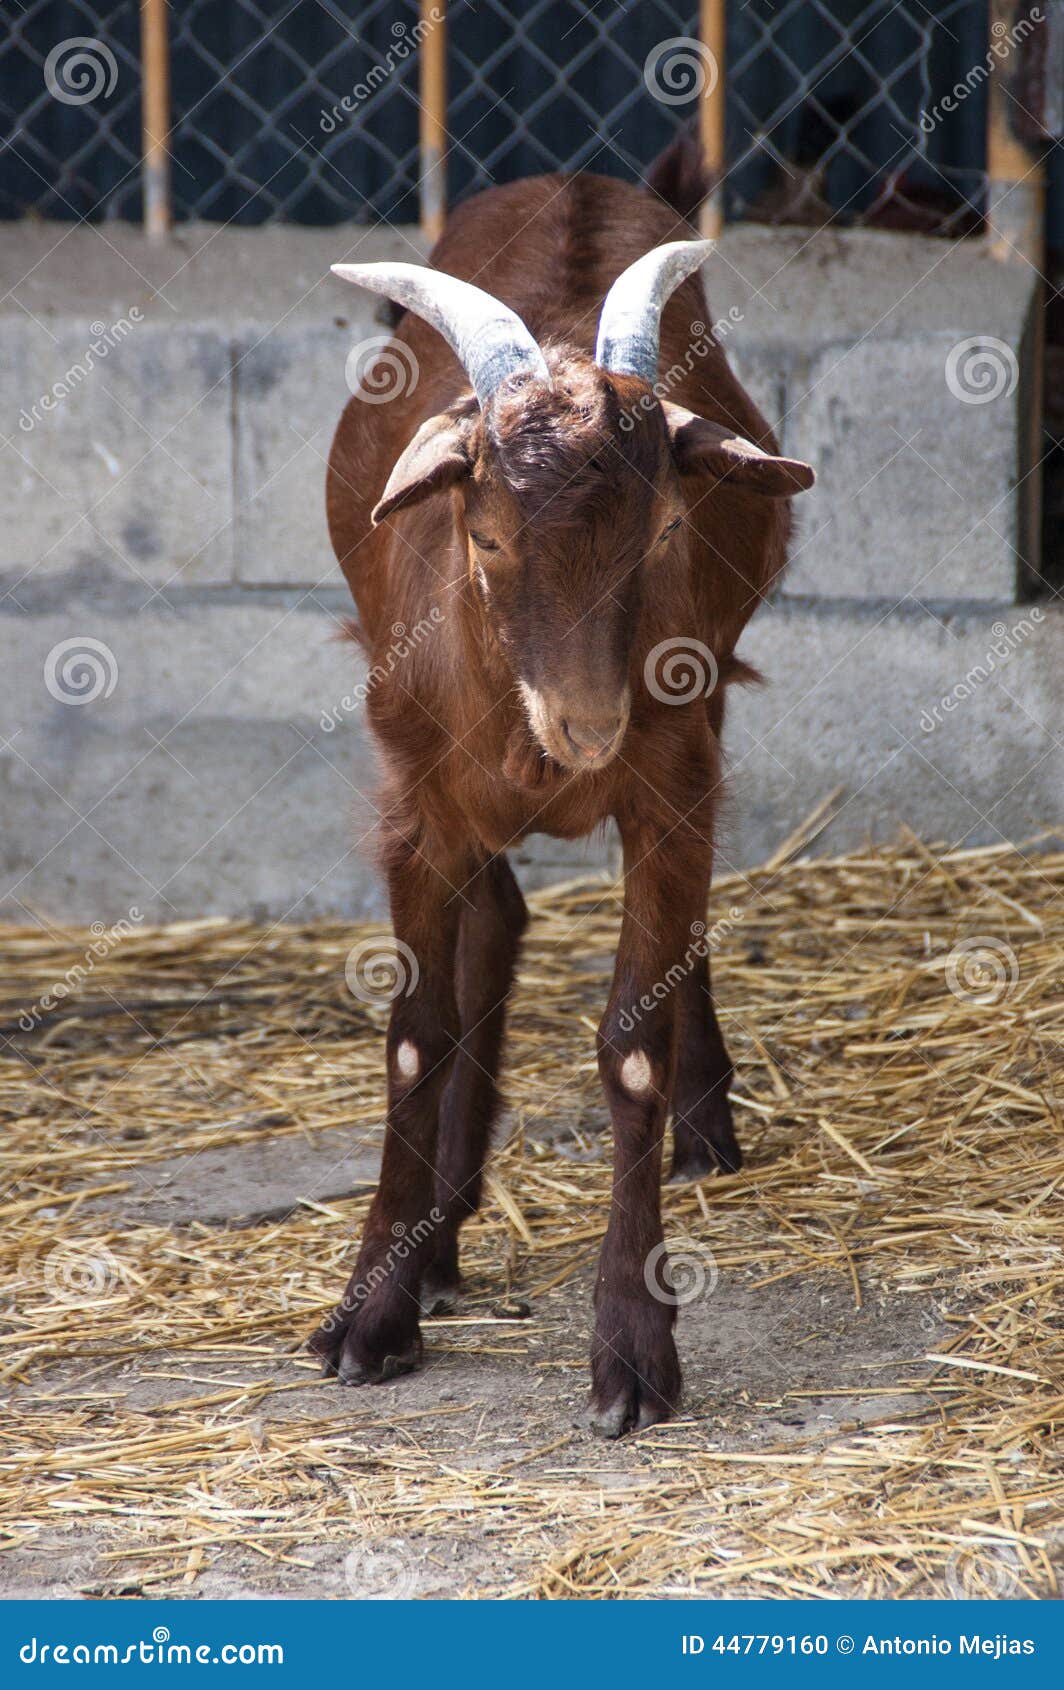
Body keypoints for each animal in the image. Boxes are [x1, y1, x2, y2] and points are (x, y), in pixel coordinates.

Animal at [310, 138, 815, 1437]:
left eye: (662, 529)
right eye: (484, 537)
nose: (584, 729)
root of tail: (579, 176)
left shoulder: (672, 784)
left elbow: (631, 1034)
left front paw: (631, 1352)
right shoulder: (414, 807)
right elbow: (412, 1036)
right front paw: (368, 1314)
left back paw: (703, 1123)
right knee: (495, 919)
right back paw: (440, 1238)